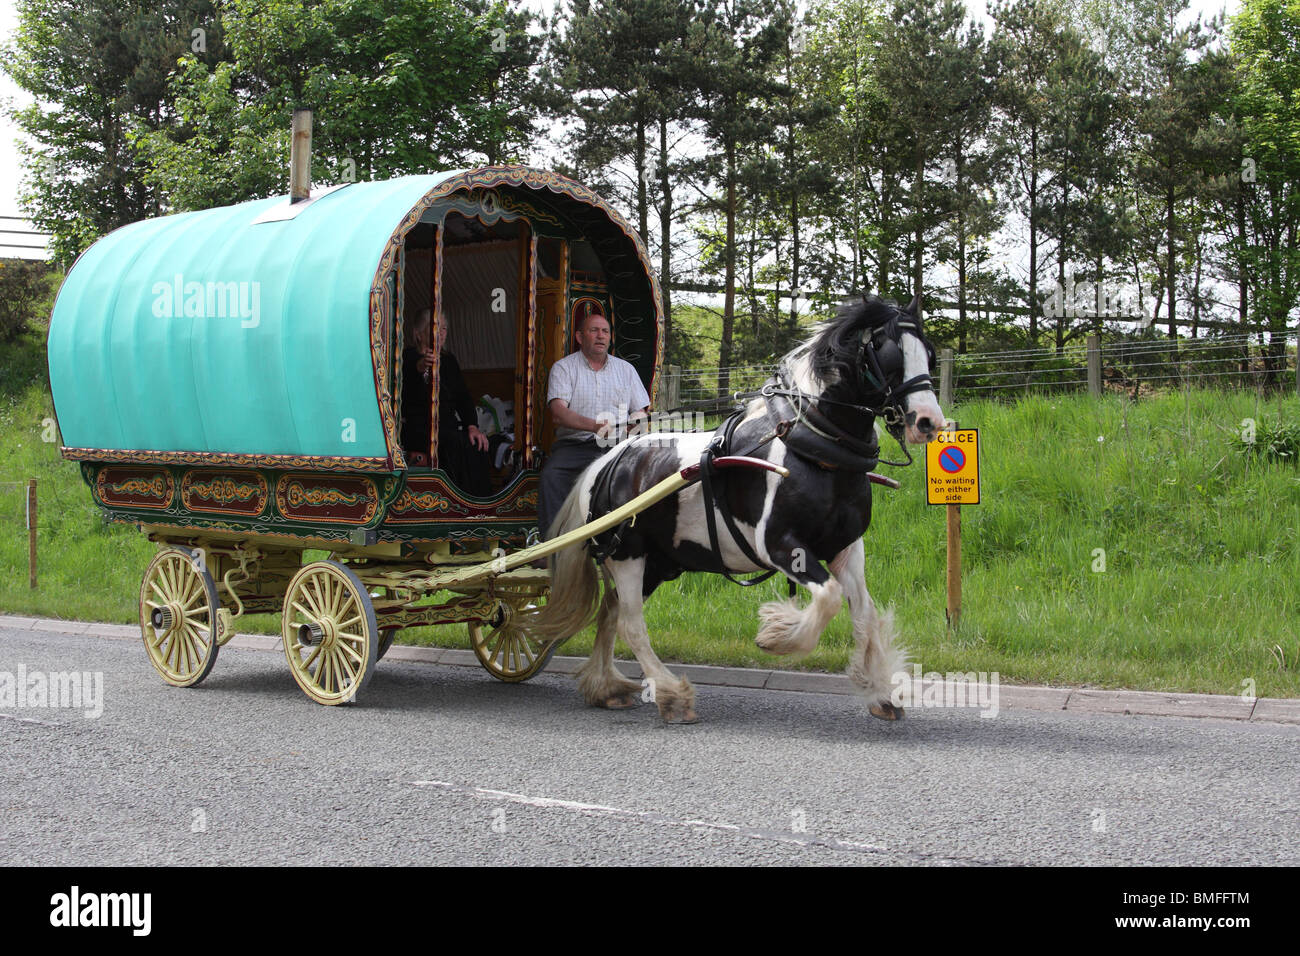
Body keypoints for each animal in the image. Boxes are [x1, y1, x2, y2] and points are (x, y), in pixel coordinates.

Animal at [524, 294, 946, 723]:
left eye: (928, 355)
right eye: (887, 353)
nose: (929, 422)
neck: (816, 450)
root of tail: (608, 461)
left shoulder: (846, 547)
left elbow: (865, 614)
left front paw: (878, 689)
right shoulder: (779, 545)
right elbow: (828, 598)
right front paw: (778, 636)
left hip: (655, 562)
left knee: (611, 612)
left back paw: (606, 687)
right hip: (628, 556)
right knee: (630, 624)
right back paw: (671, 695)